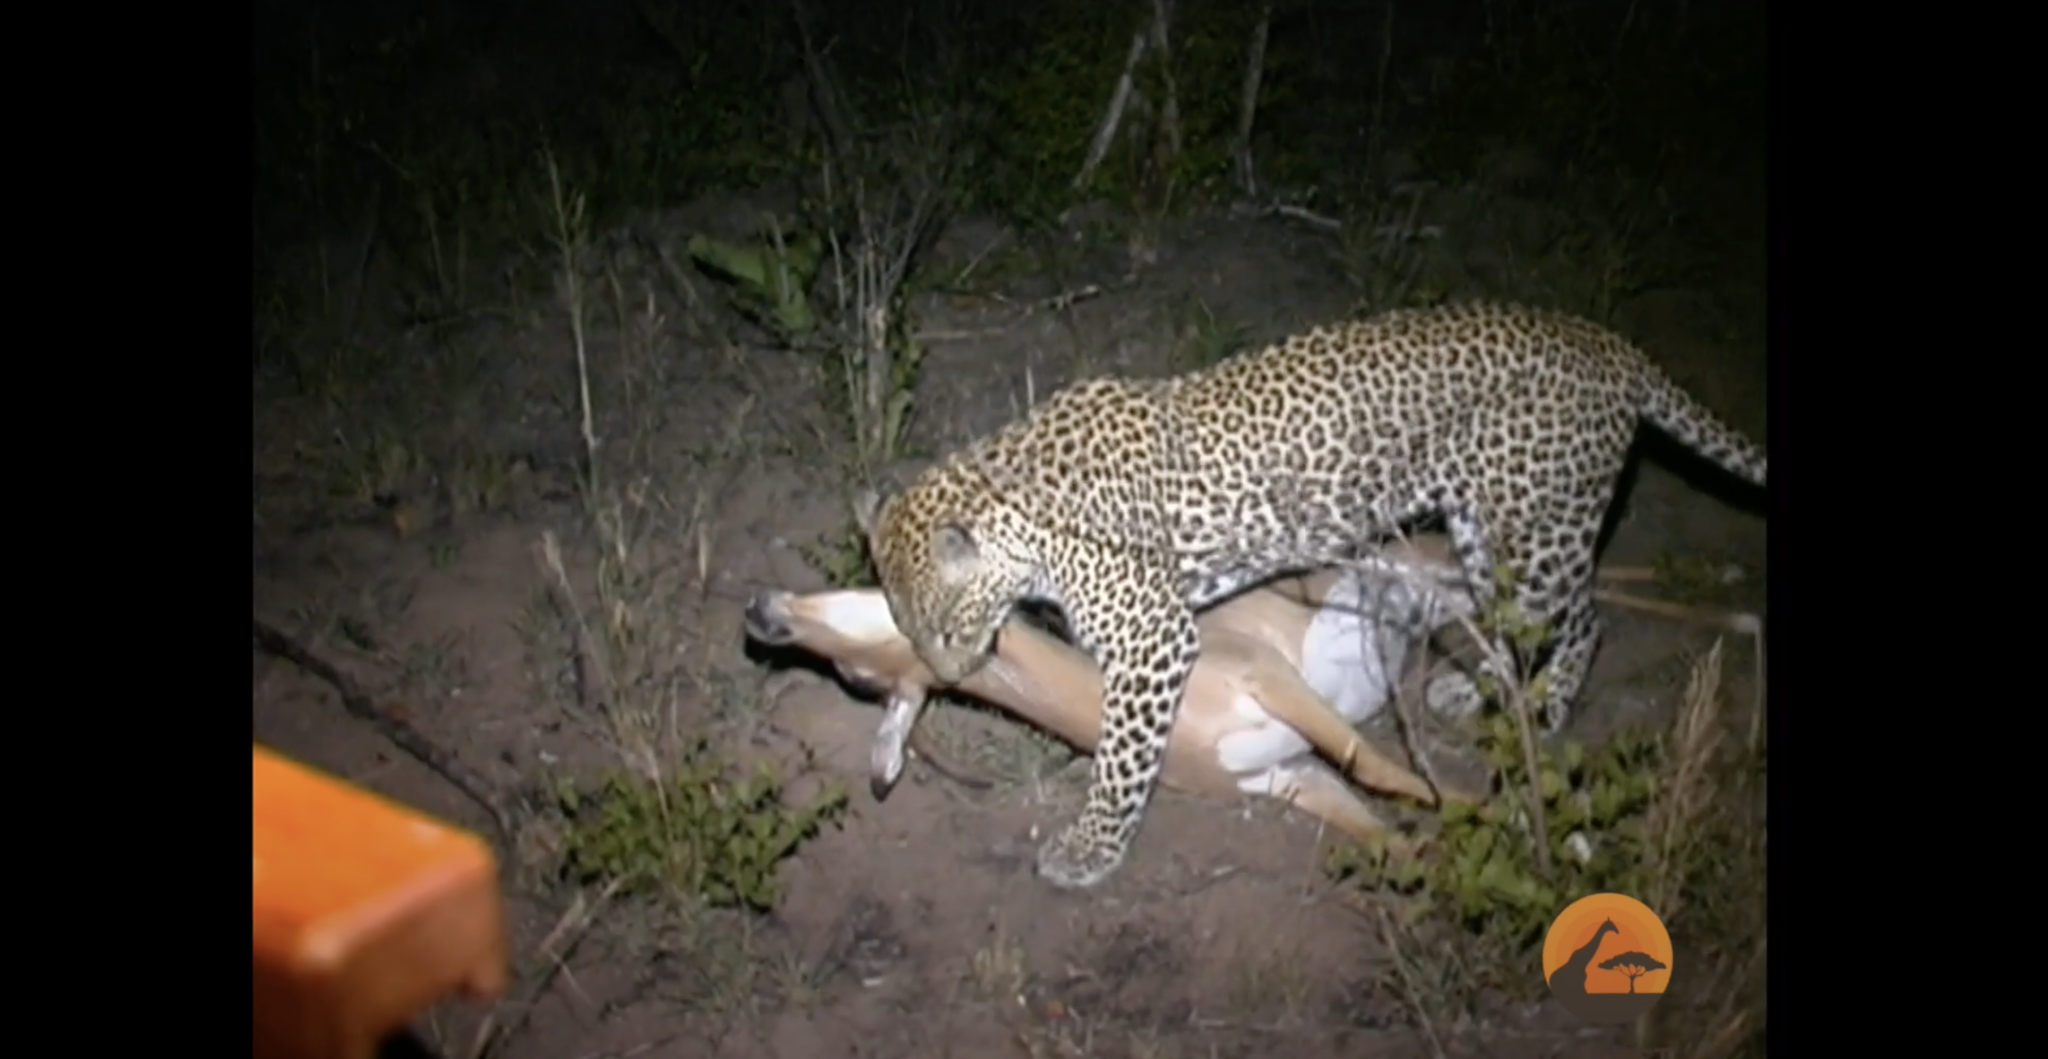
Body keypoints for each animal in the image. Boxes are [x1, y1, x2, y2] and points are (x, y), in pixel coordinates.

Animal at [853, 300, 1766, 889]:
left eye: (945, 623)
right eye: (909, 627)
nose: (953, 673)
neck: (1026, 518)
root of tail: (1611, 346)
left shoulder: (1156, 637)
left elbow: (1121, 756)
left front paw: (1091, 849)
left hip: (1538, 533)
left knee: (1586, 619)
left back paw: (1543, 711)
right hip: (1484, 530)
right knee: (1511, 622)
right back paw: (1473, 690)